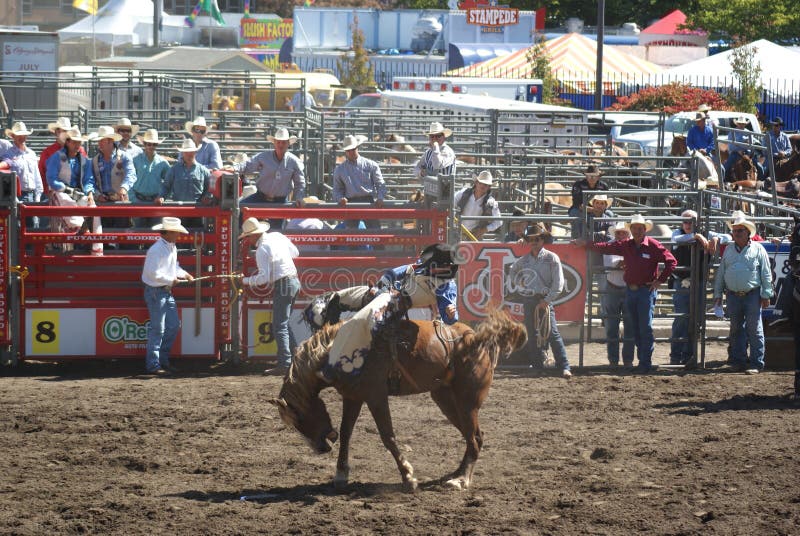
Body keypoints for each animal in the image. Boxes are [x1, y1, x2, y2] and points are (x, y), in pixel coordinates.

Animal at [269, 310, 528, 492]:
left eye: (300, 418)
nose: (321, 449)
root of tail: (477, 338)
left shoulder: (376, 396)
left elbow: (388, 436)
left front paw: (408, 476)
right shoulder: (353, 397)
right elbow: (346, 433)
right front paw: (341, 474)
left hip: (467, 401)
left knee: (473, 437)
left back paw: (461, 480)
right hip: (445, 399)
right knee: (474, 436)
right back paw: (454, 474)